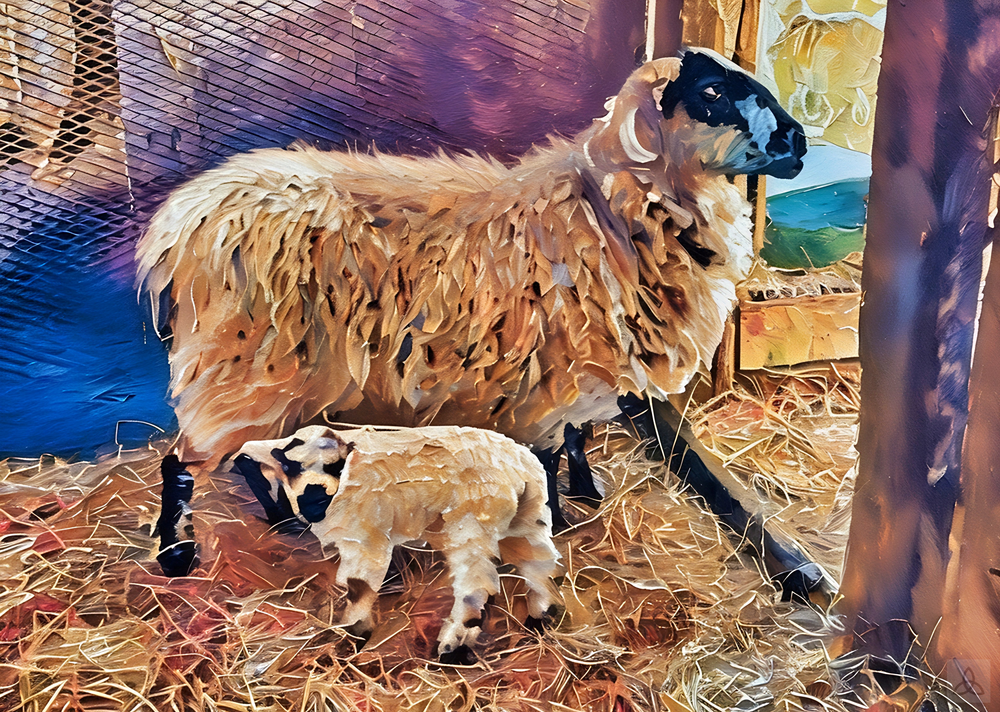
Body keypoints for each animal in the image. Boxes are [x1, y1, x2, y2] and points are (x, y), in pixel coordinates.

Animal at [229, 424, 563, 657]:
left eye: (337, 464)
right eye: (288, 466)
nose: (315, 499)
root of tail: (520, 466)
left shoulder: (365, 539)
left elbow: (359, 587)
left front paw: (352, 635)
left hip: (472, 522)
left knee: (475, 587)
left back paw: (451, 648)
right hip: (527, 519)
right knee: (539, 564)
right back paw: (542, 616)